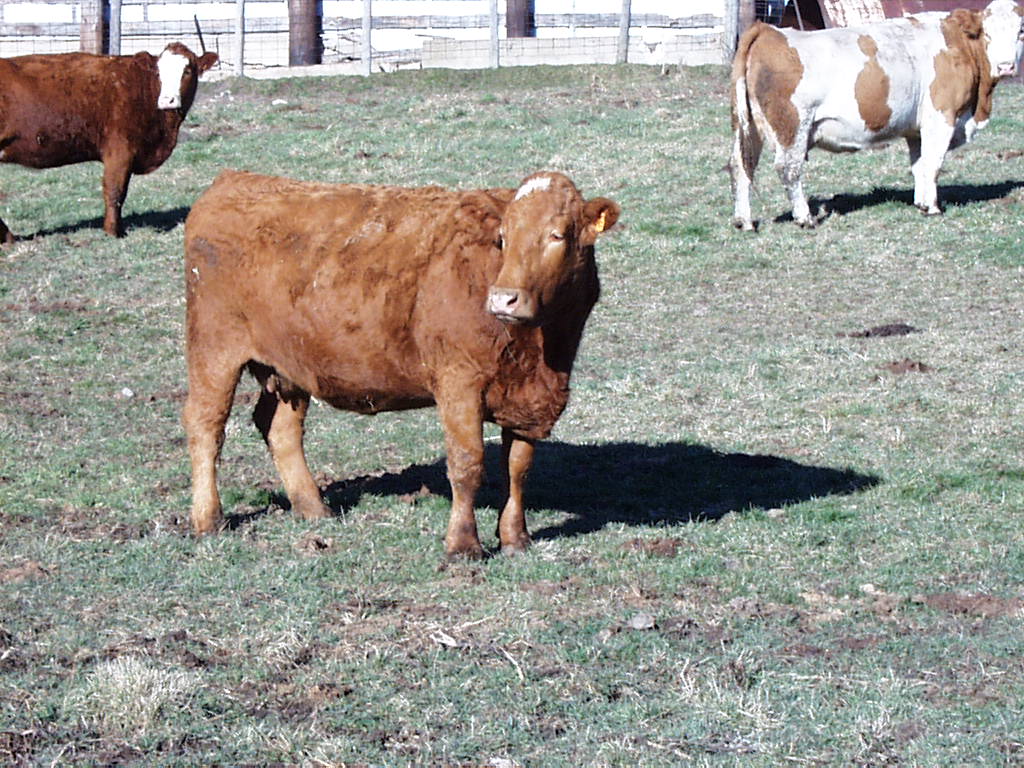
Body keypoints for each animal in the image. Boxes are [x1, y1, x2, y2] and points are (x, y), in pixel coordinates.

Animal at [0, 42, 218, 242]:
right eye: (157, 73)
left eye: (187, 71)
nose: (167, 100)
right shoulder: (120, 150)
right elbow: (115, 191)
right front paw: (113, 232)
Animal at [182, 170, 619, 559]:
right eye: (503, 238)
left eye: (557, 234)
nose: (503, 299)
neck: (542, 351)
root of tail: (234, 181)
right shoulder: (459, 384)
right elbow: (467, 465)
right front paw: (463, 546)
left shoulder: (527, 399)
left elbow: (518, 468)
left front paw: (515, 538)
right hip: (214, 350)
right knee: (206, 426)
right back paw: (209, 519)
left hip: (289, 365)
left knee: (280, 427)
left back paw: (313, 508)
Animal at [729, 0, 1024, 230]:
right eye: (987, 33)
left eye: (1021, 32)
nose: (1006, 66)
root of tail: (768, 31)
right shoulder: (941, 115)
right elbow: (933, 163)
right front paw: (932, 207)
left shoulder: (915, 129)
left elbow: (919, 165)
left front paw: (920, 202)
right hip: (792, 126)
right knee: (788, 169)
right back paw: (805, 218)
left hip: (748, 128)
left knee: (741, 167)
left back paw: (744, 221)